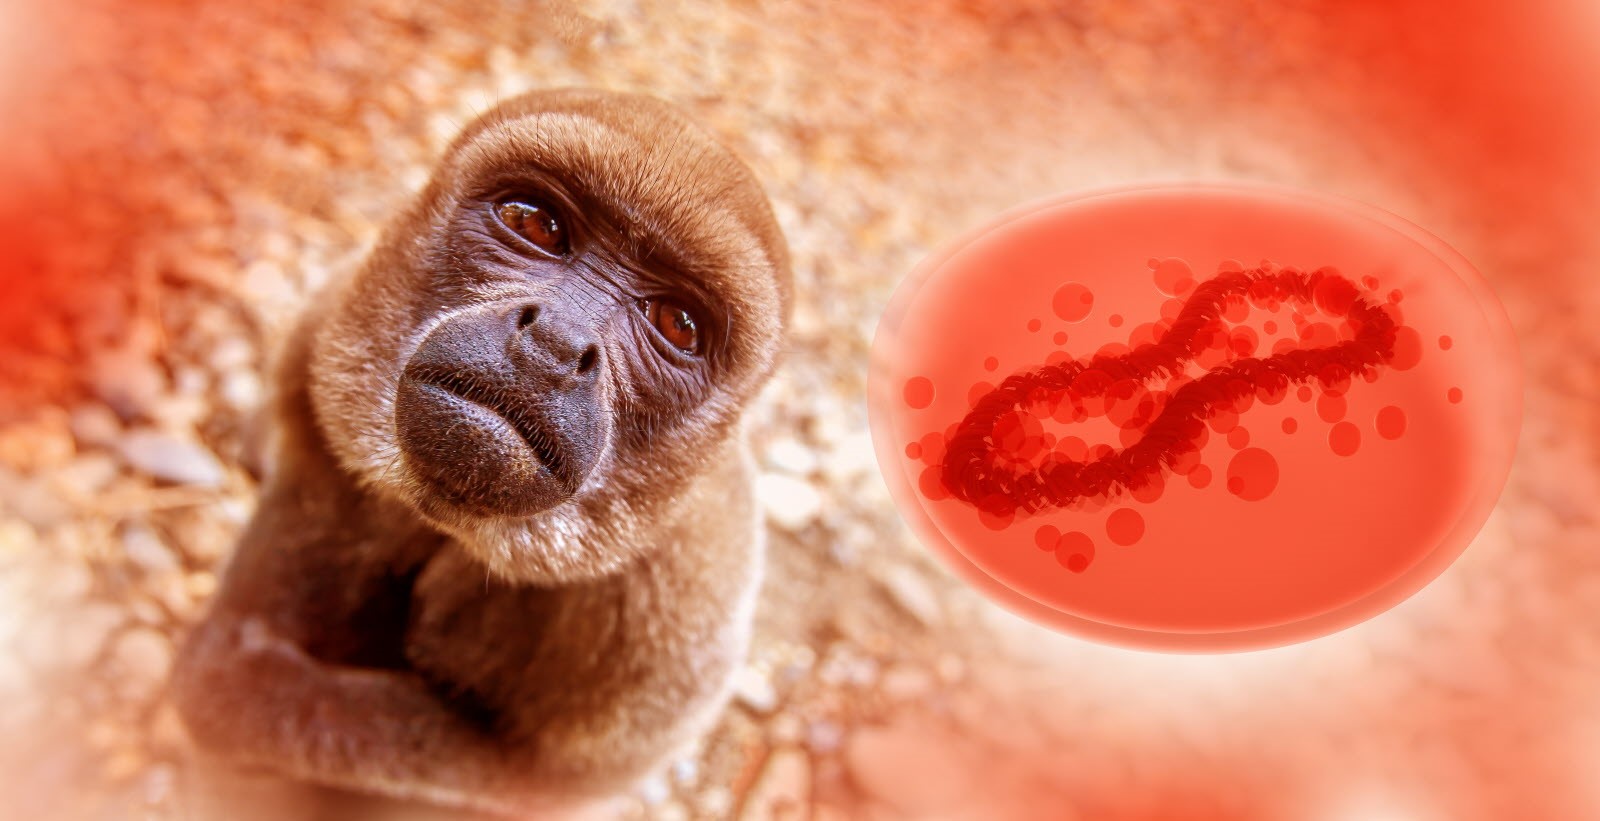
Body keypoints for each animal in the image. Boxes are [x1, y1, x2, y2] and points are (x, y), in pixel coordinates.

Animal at [168, 88, 791, 817]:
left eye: (677, 324)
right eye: (535, 223)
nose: (555, 342)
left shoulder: (679, 605)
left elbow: (532, 780)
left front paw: (243, 693)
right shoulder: (322, 332)